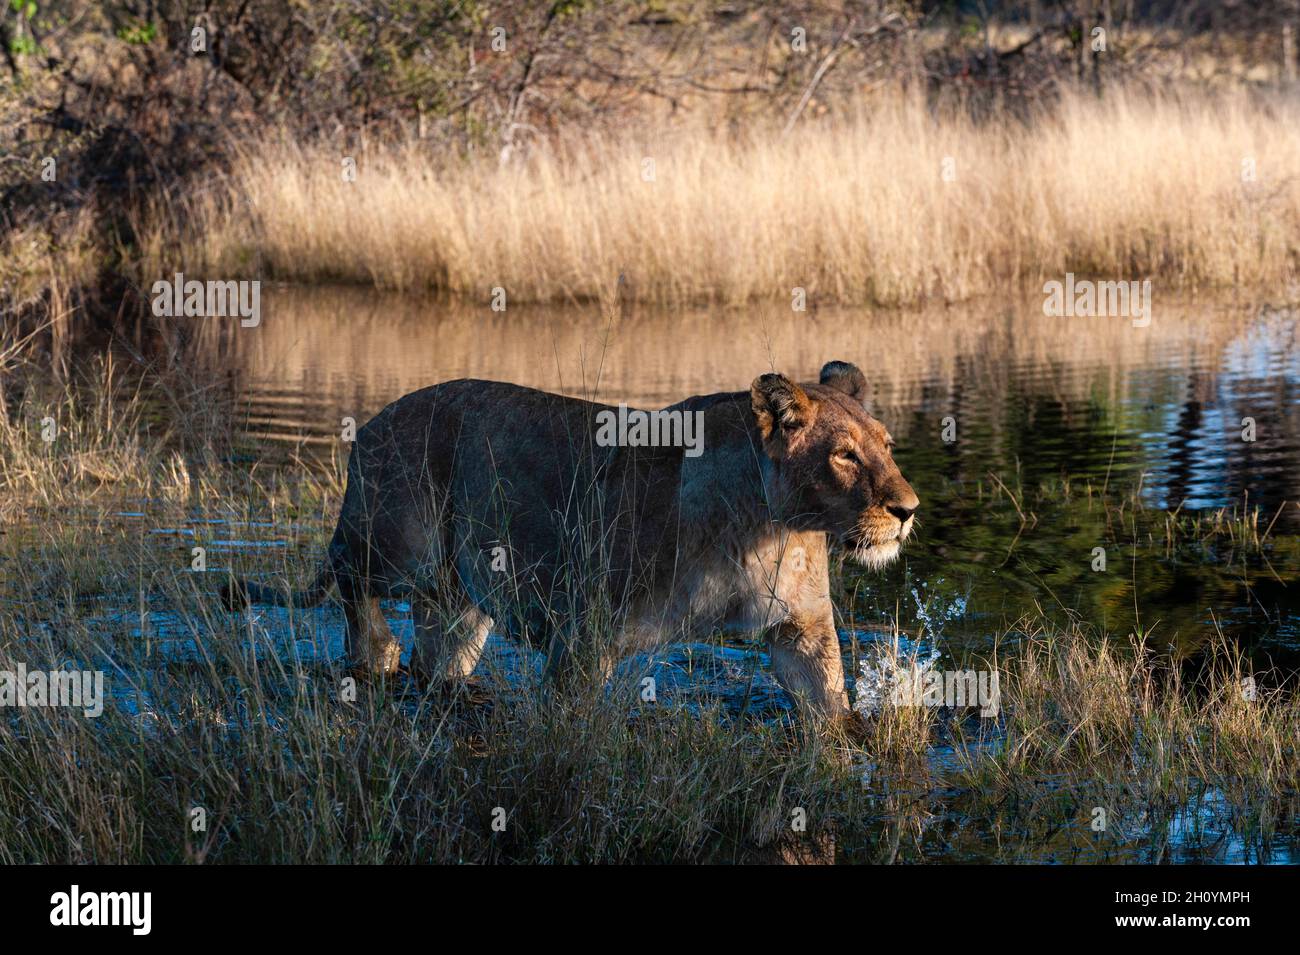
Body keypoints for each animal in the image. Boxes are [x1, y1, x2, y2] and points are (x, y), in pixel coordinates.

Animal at [222, 360, 919, 722]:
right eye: (845, 456)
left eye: (886, 446)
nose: (908, 510)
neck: (763, 527)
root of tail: (367, 425)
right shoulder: (584, 629)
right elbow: (568, 721)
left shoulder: (801, 626)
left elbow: (829, 703)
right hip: (394, 542)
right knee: (352, 585)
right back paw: (374, 653)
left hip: (460, 592)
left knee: (438, 650)